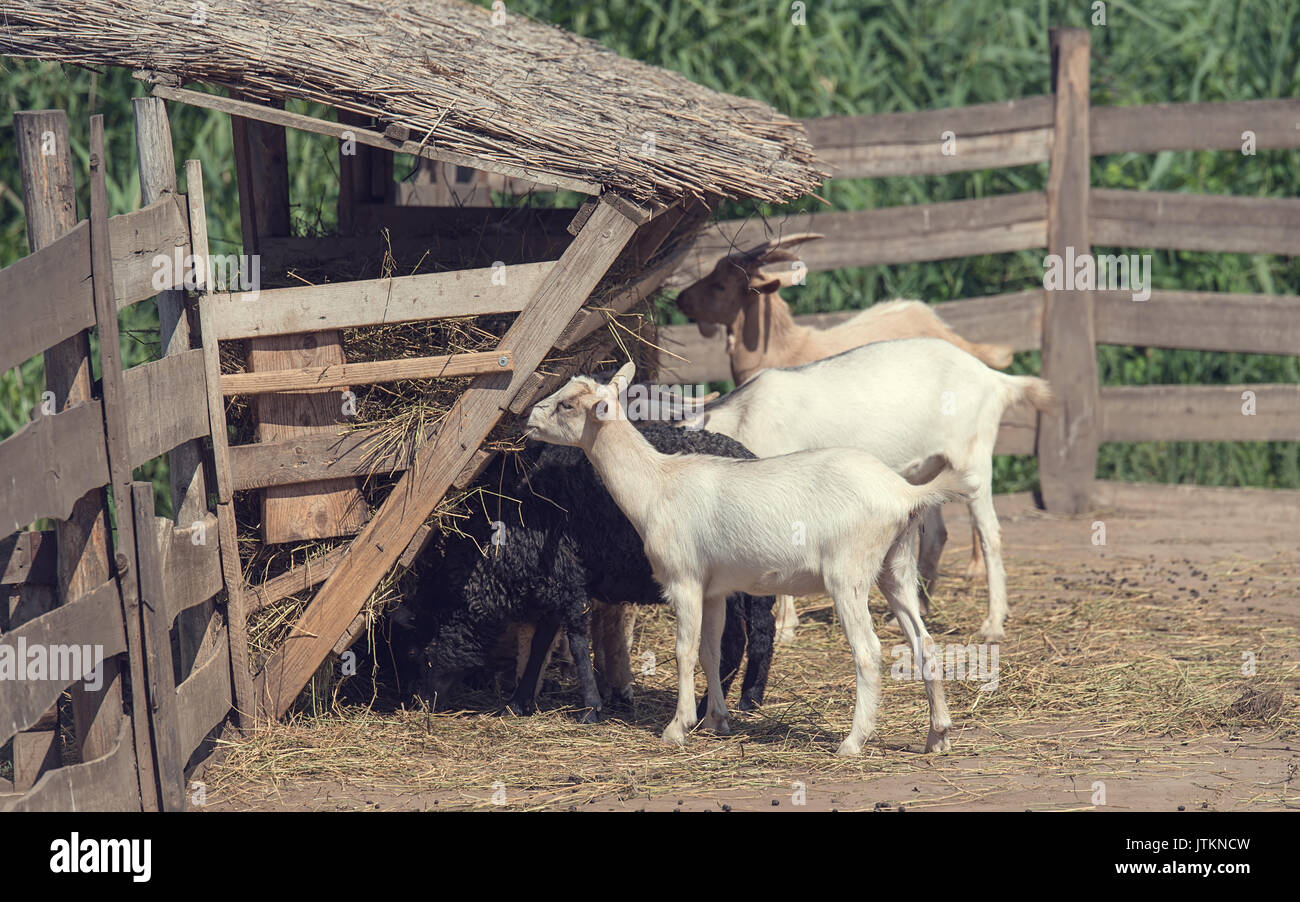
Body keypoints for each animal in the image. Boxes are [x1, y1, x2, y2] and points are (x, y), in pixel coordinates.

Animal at [527, 362, 971, 756]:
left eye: (567, 404)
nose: (529, 418)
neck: (657, 485)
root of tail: (904, 493)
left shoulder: (684, 579)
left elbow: (684, 650)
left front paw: (677, 727)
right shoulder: (713, 588)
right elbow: (710, 649)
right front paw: (717, 721)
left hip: (848, 573)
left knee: (868, 651)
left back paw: (853, 741)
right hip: (896, 566)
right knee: (925, 642)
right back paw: (938, 736)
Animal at [681, 337, 1053, 641]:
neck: (743, 417)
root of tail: (993, 379)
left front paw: (786, 627)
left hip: (973, 458)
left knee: (990, 533)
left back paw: (993, 624)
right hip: (929, 469)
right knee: (935, 533)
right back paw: (911, 610)